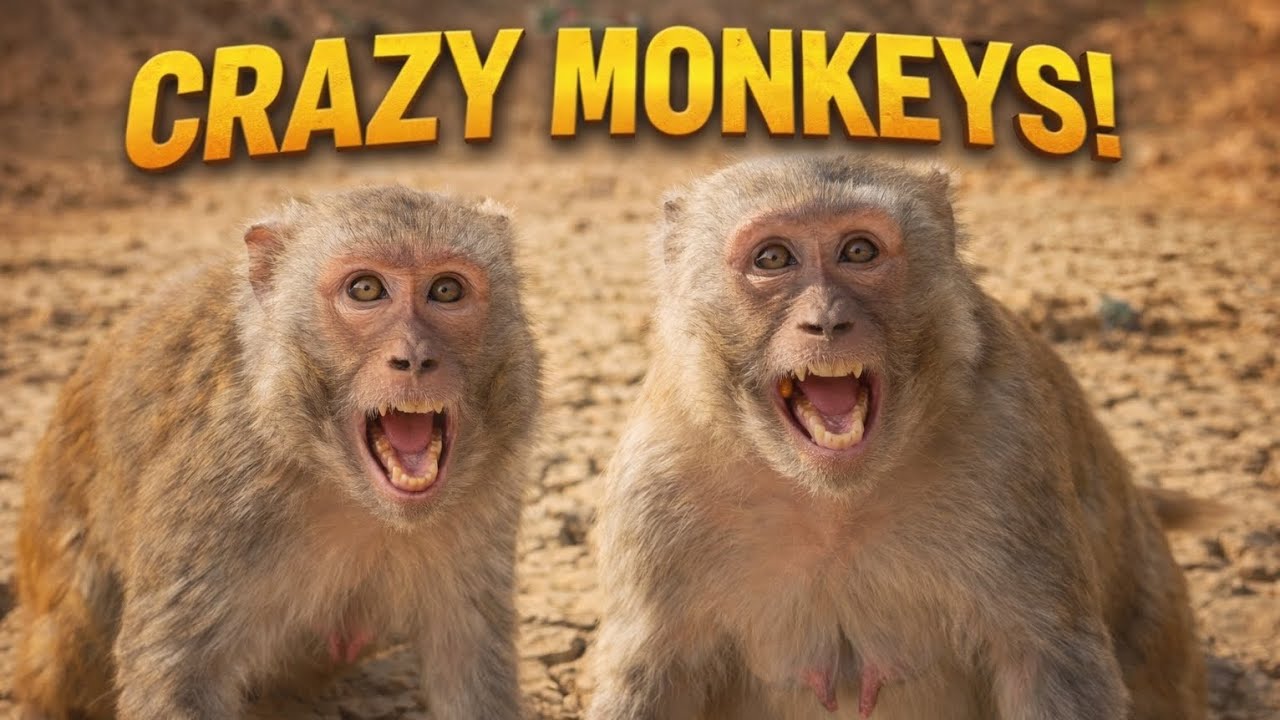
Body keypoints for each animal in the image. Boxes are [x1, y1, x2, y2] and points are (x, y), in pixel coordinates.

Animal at [12, 186, 542, 720]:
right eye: (366, 290)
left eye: (447, 290)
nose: (414, 358)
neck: (342, 483)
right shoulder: (220, 486)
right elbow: (178, 669)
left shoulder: (489, 492)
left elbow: (468, 657)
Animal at [587, 156, 1206, 720]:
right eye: (773, 258)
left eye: (859, 252)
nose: (826, 322)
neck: (830, 500)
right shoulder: (658, 485)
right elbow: (652, 680)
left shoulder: (1010, 446)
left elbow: (1049, 666)